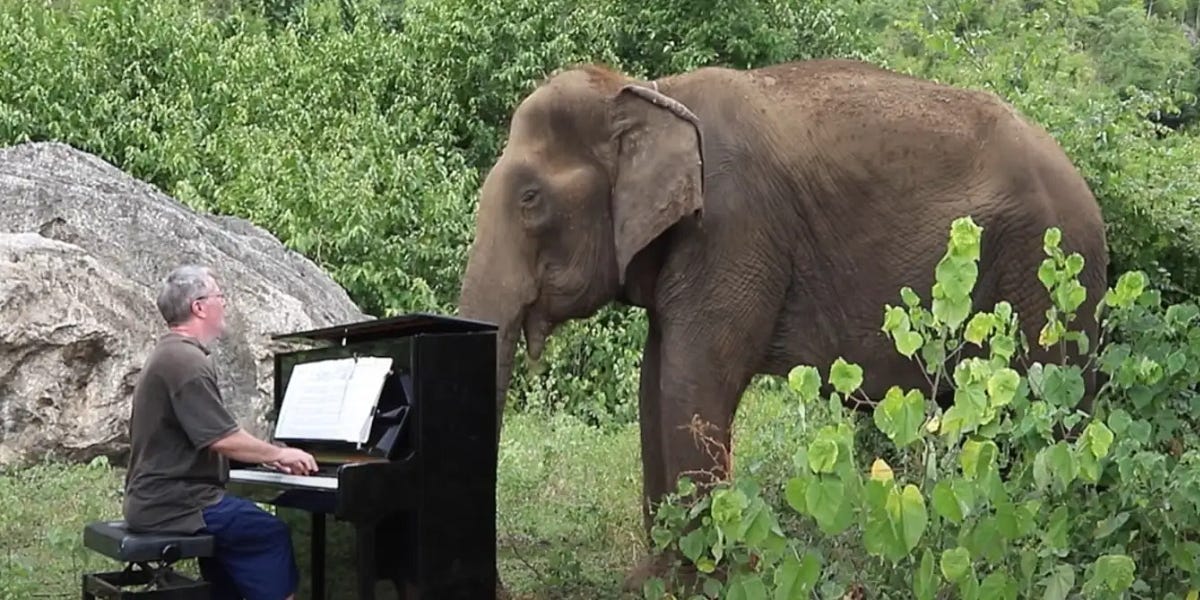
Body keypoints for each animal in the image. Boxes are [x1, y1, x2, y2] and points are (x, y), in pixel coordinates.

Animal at [455, 57, 1109, 593]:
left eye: (531, 200)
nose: (503, 587)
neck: (648, 92)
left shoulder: (733, 227)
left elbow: (693, 383)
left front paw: (704, 585)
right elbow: (655, 381)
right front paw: (652, 581)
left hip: (1044, 276)